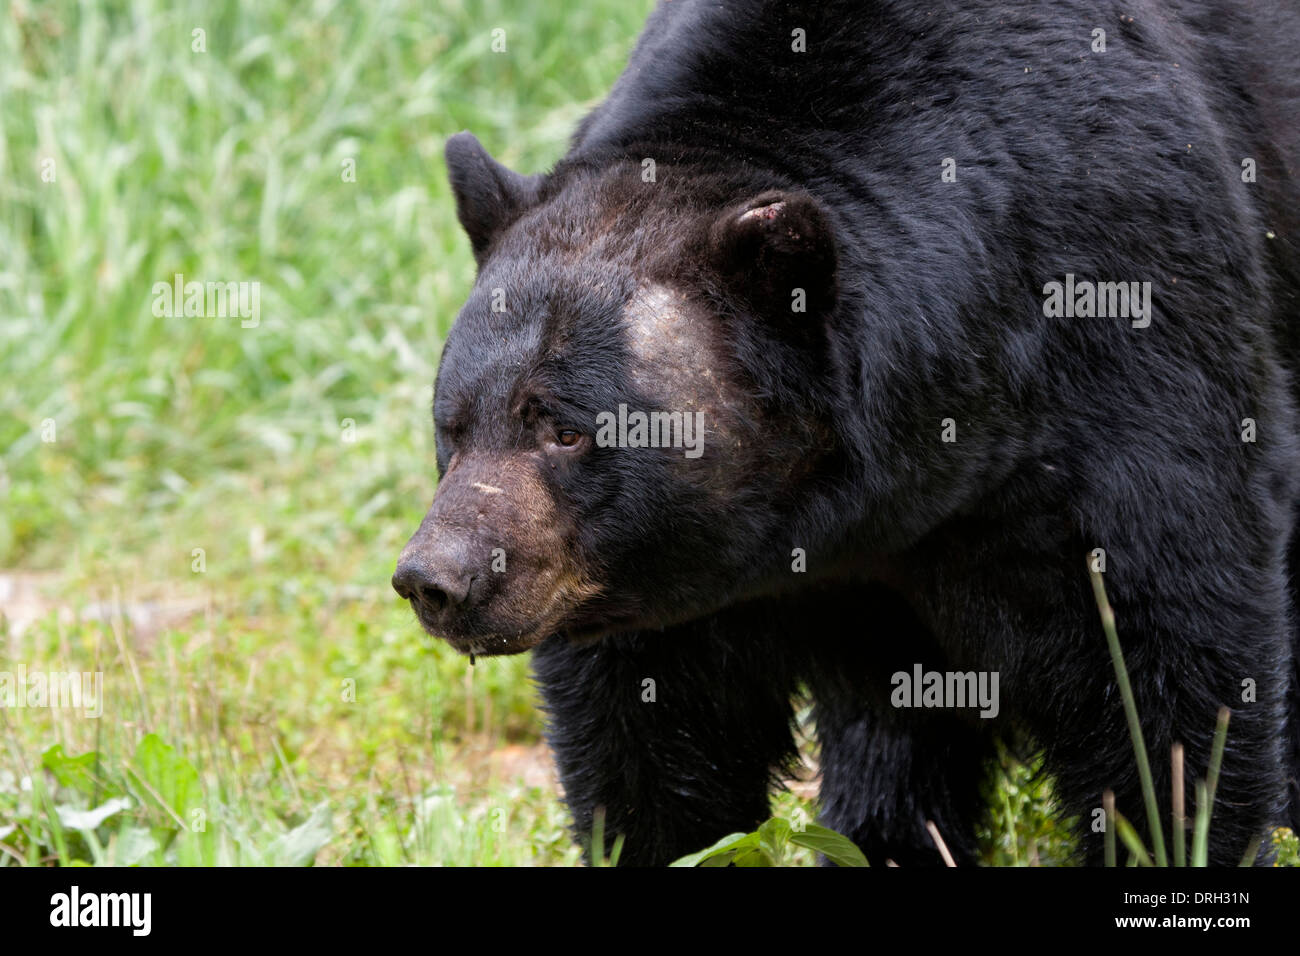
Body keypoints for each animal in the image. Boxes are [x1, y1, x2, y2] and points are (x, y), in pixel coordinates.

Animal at [393, 0, 1300, 866]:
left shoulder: (1128, 332)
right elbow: (652, 731)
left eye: (565, 430)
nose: (437, 579)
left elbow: (1168, 650)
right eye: (453, 424)